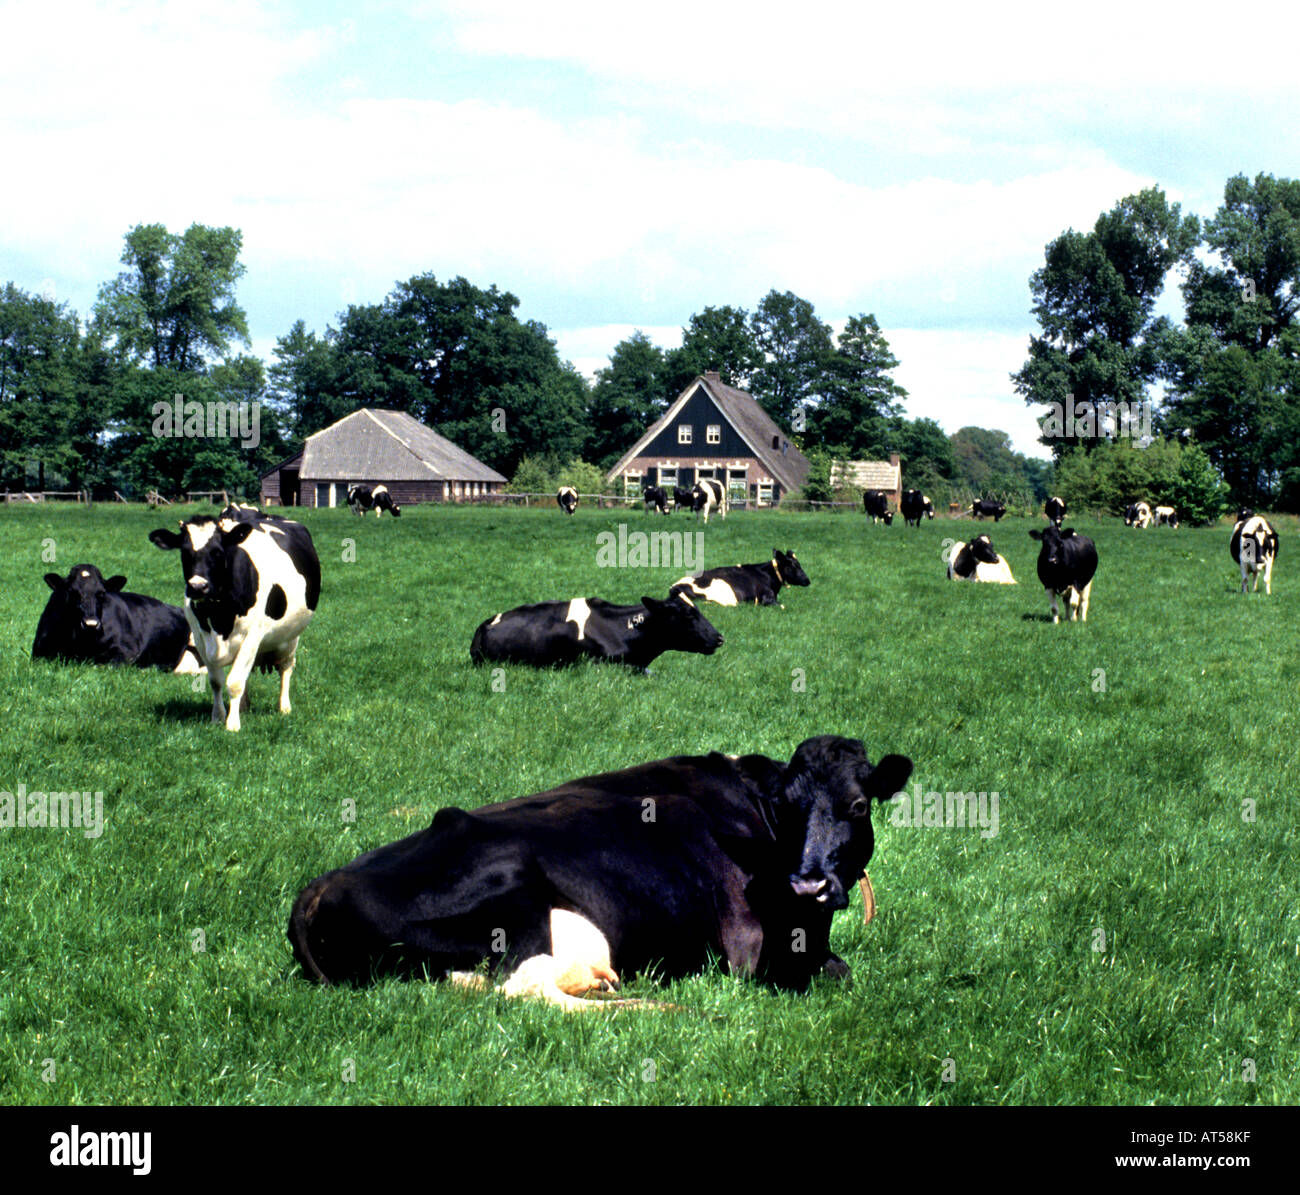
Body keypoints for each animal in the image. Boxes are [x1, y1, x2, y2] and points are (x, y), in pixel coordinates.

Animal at [32, 564, 203, 674]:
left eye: (101, 593)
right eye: (72, 592)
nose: (91, 624)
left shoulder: (127, 651)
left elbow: (100, 666)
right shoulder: (39, 653)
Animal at [148, 511, 321, 731]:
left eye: (217, 552)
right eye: (184, 553)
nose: (197, 587)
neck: (218, 617)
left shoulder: (252, 636)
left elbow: (235, 681)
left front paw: (232, 724)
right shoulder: (200, 638)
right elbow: (217, 681)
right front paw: (218, 716)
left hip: (290, 636)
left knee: (286, 667)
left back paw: (284, 707)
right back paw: (243, 707)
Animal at [287, 735, 915, 1001]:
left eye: (858, 806)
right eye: (787, 807)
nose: (808, 884)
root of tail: (320, 885)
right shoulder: (750, 954)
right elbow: (839, 972)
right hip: (510, 886)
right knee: (520, 989)